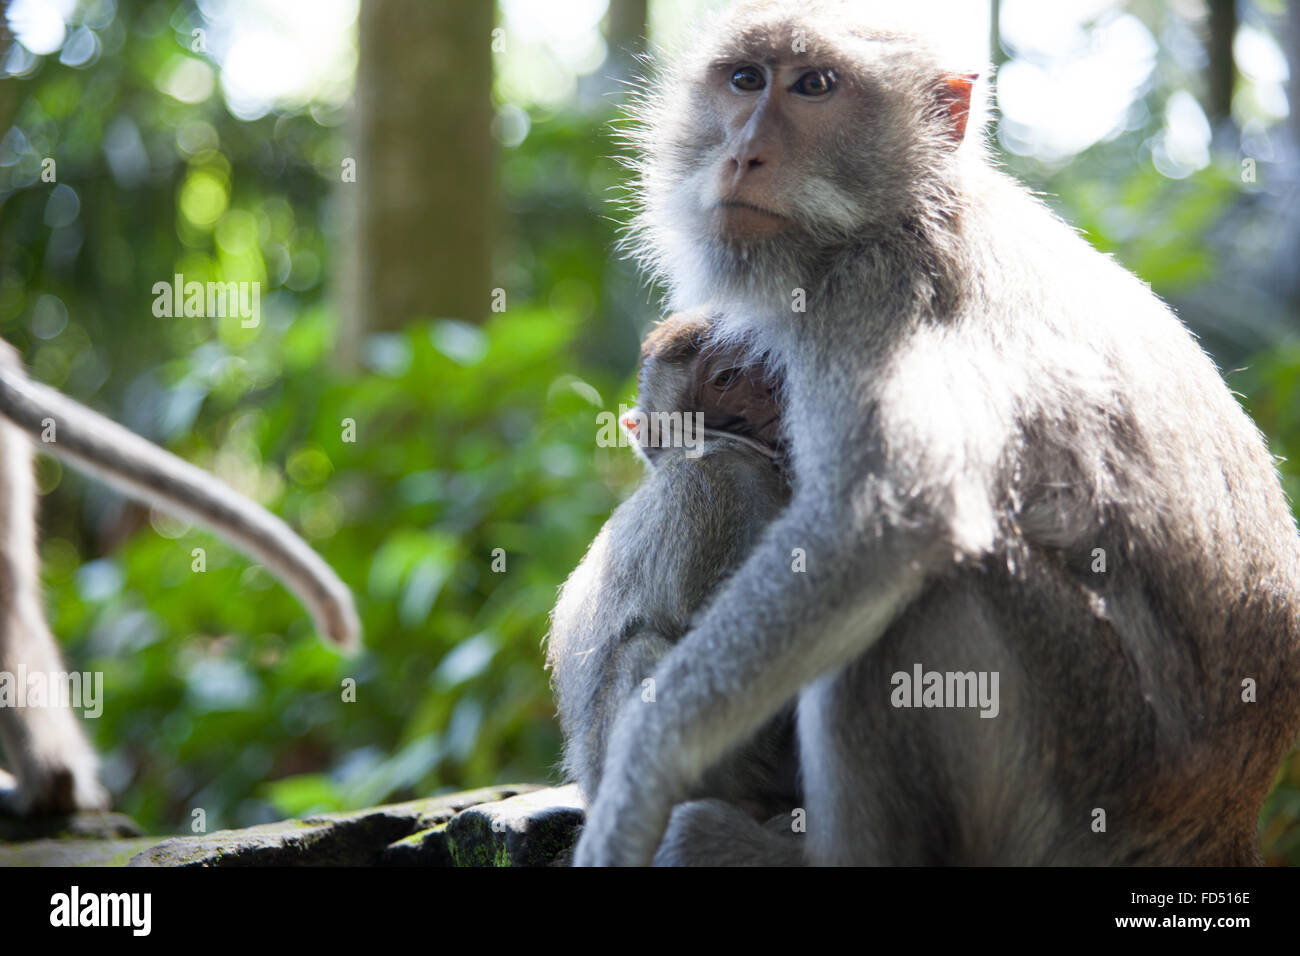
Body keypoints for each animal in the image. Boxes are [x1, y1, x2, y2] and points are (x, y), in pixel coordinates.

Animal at [574, 0, 1300, 866]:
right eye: (745, 79)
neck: (907, 205)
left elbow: (886, 518)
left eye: (815, 85)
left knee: (929, 590)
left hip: (1094, 768)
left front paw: (643, 768)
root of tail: (1224, 821)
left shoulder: (869, 295)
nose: (743, 152)